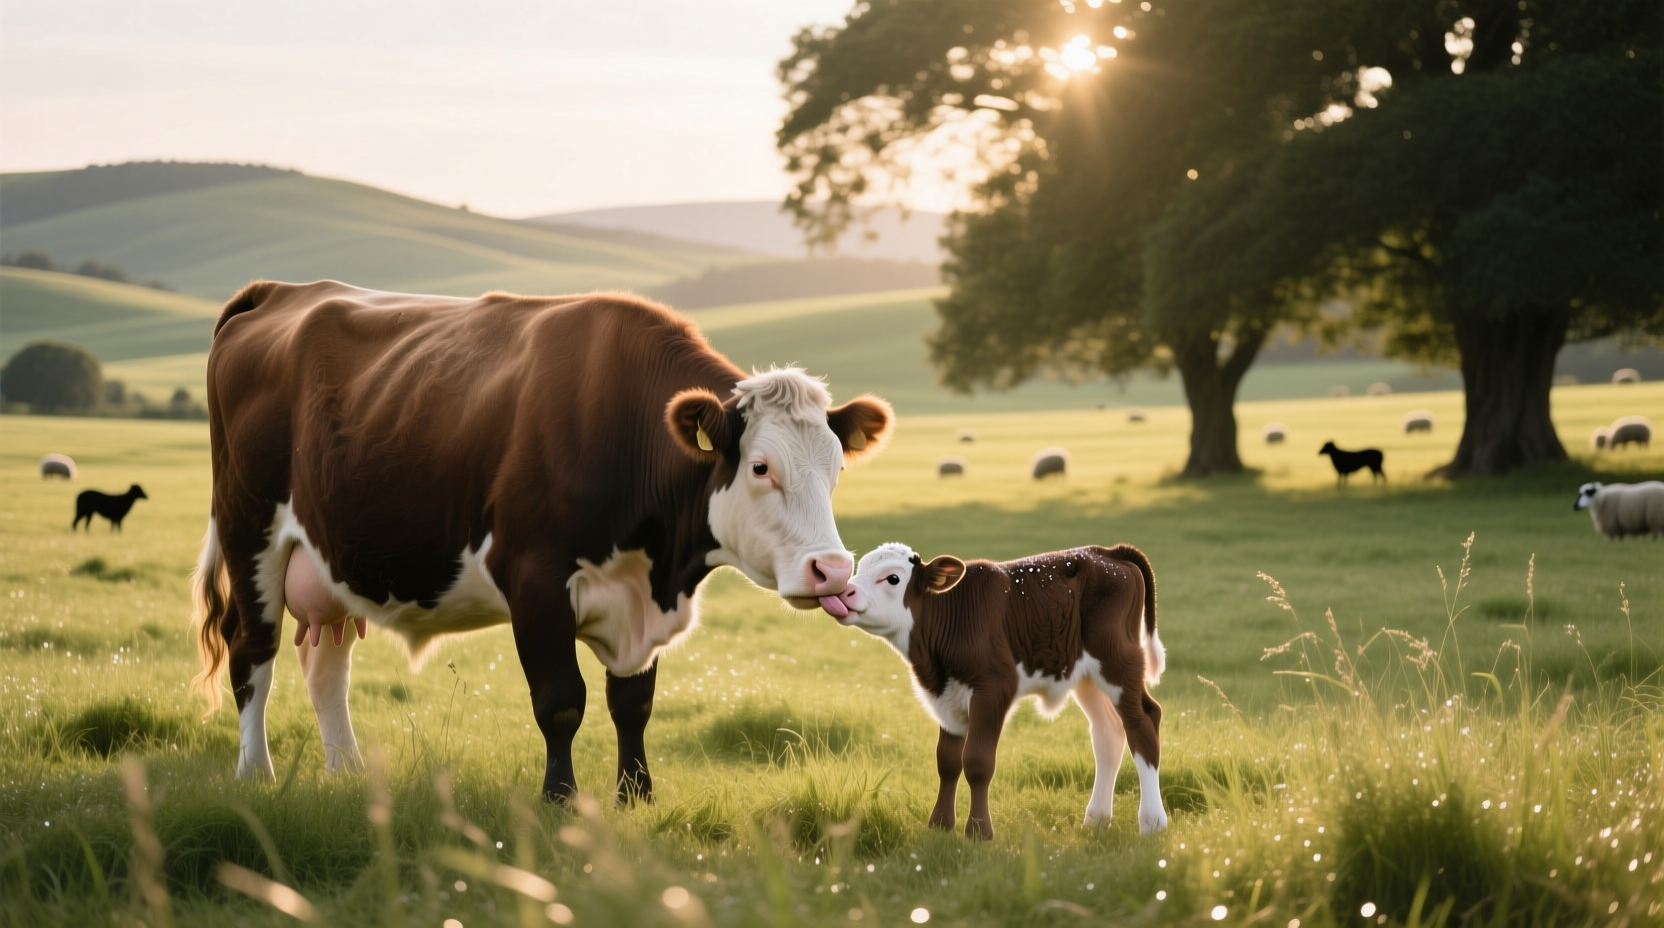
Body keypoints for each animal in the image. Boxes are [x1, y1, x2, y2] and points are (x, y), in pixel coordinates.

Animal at [190, 280, 893, 803]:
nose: (833, 571)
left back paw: (349, 773)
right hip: (249, 530)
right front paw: (560, 800)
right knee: (253, 653)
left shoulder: (638, 596)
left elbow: (632, 703)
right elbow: (561, 702)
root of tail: (282, 291)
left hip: (331, 557)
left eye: (836, 467)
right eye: (760, 467)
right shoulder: (535, 579)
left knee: (326, 670)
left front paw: (635, 797)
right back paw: (256, 775)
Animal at [819, 542, 1168, 839]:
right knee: (1107, 731)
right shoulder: (947, 697)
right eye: (859, 568)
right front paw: (940, 826)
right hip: (1086, 676)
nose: (845, 592)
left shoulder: (993, 688)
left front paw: (979, 833)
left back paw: (1152, 822)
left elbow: (977, 761)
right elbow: (947, 761)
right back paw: (1096, 819)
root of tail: (1105, 551)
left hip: (1117, 660)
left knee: (1143, 721)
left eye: (892, 578)